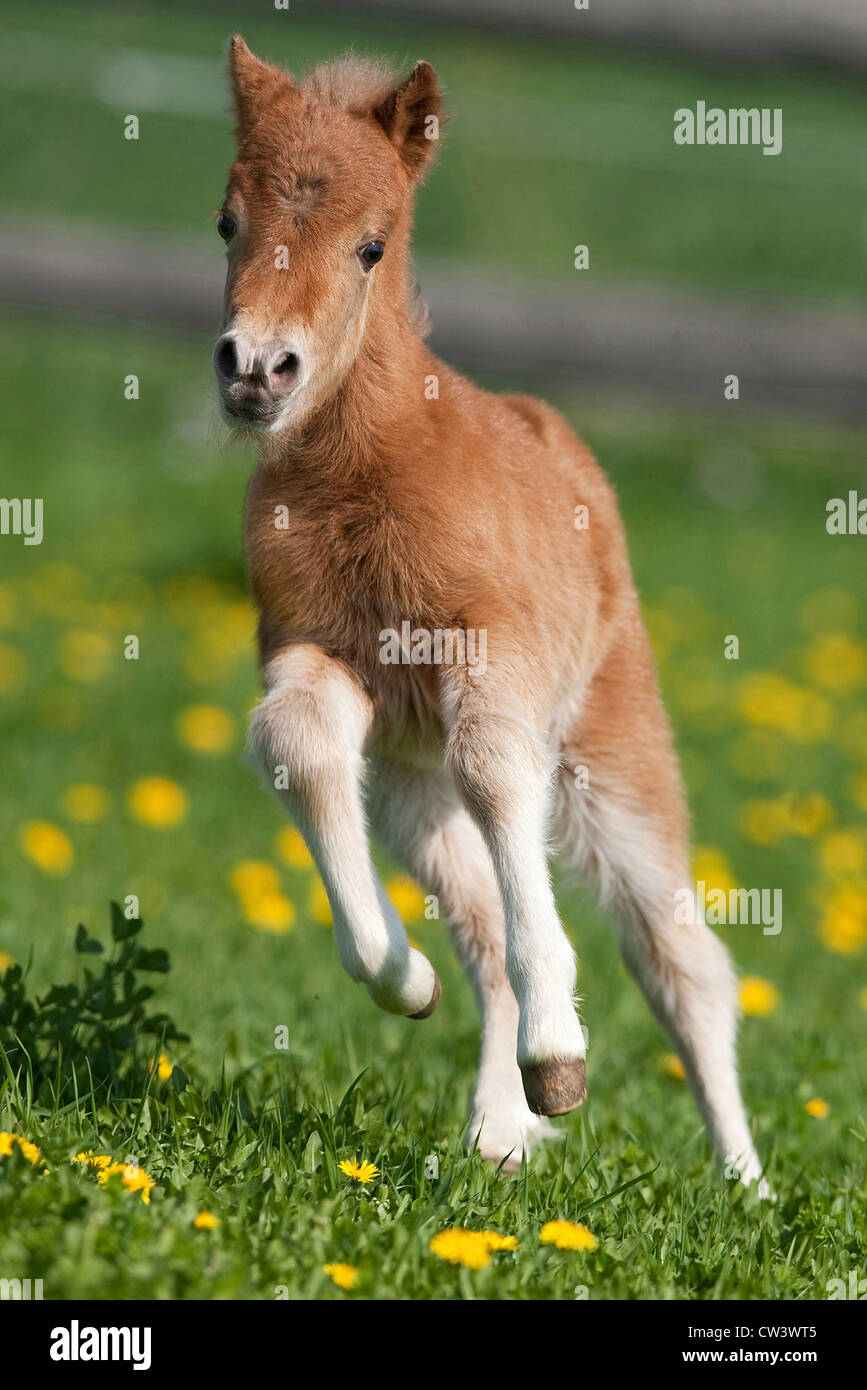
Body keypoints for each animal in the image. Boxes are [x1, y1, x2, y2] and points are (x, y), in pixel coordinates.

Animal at [212, 34, 764, 1186]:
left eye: (371, 246)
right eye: (227, 222)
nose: (254, 371)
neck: (368, 470)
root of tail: (555, 435)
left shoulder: (488, 653)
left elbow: (499, 767)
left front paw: (562, 1053)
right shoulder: (317, 652)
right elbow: (295, 737)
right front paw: (400, 977)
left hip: (617, 748)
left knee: (681, 958)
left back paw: (744, 1182)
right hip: (407, 791)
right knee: (477, 930)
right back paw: (500, 1132)